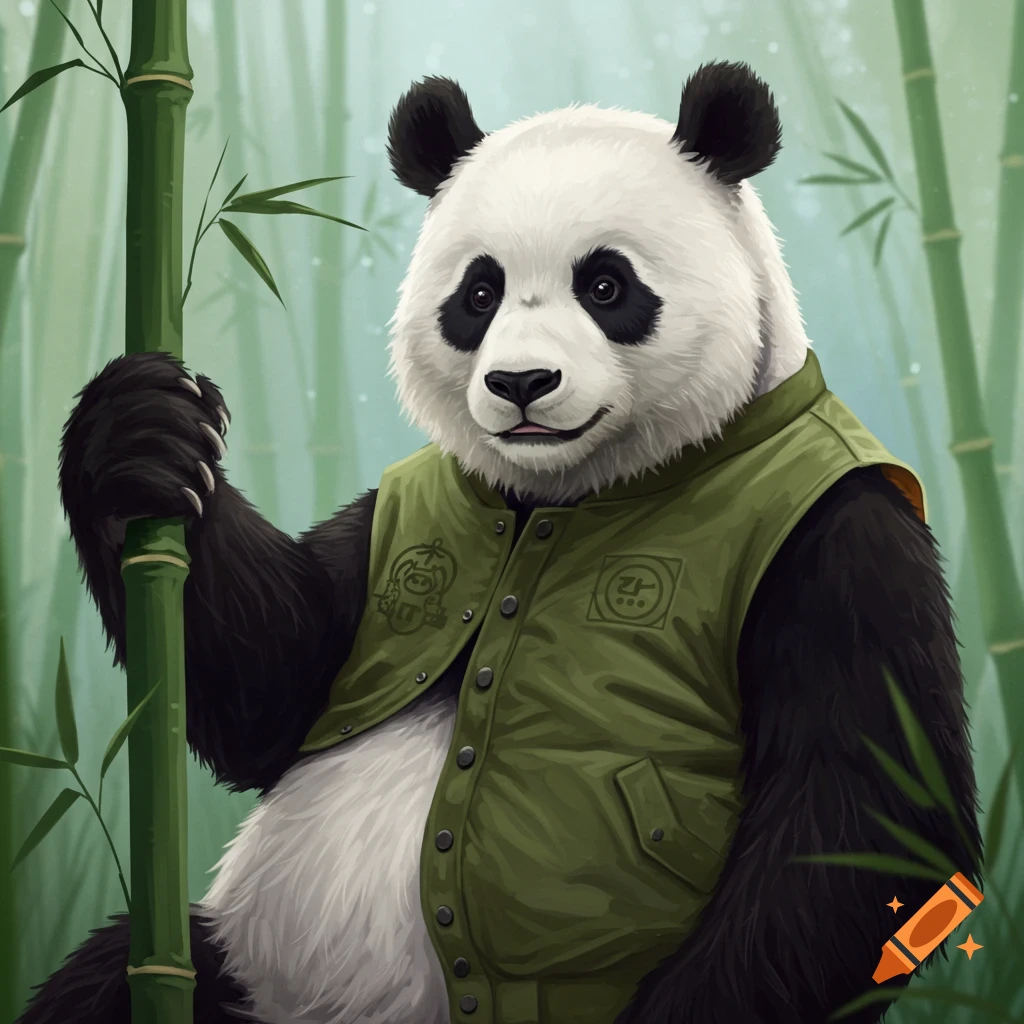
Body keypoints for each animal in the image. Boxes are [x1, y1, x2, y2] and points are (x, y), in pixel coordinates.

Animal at [21, 62, 979, 1024]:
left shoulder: (837, 544)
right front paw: (144, 435)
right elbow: (272, 689)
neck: (564, 496)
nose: (522, 382)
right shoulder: (400, 517)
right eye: (478, 295)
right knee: (100, 981)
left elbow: (865, 824)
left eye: (607, 286)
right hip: (231, 963)